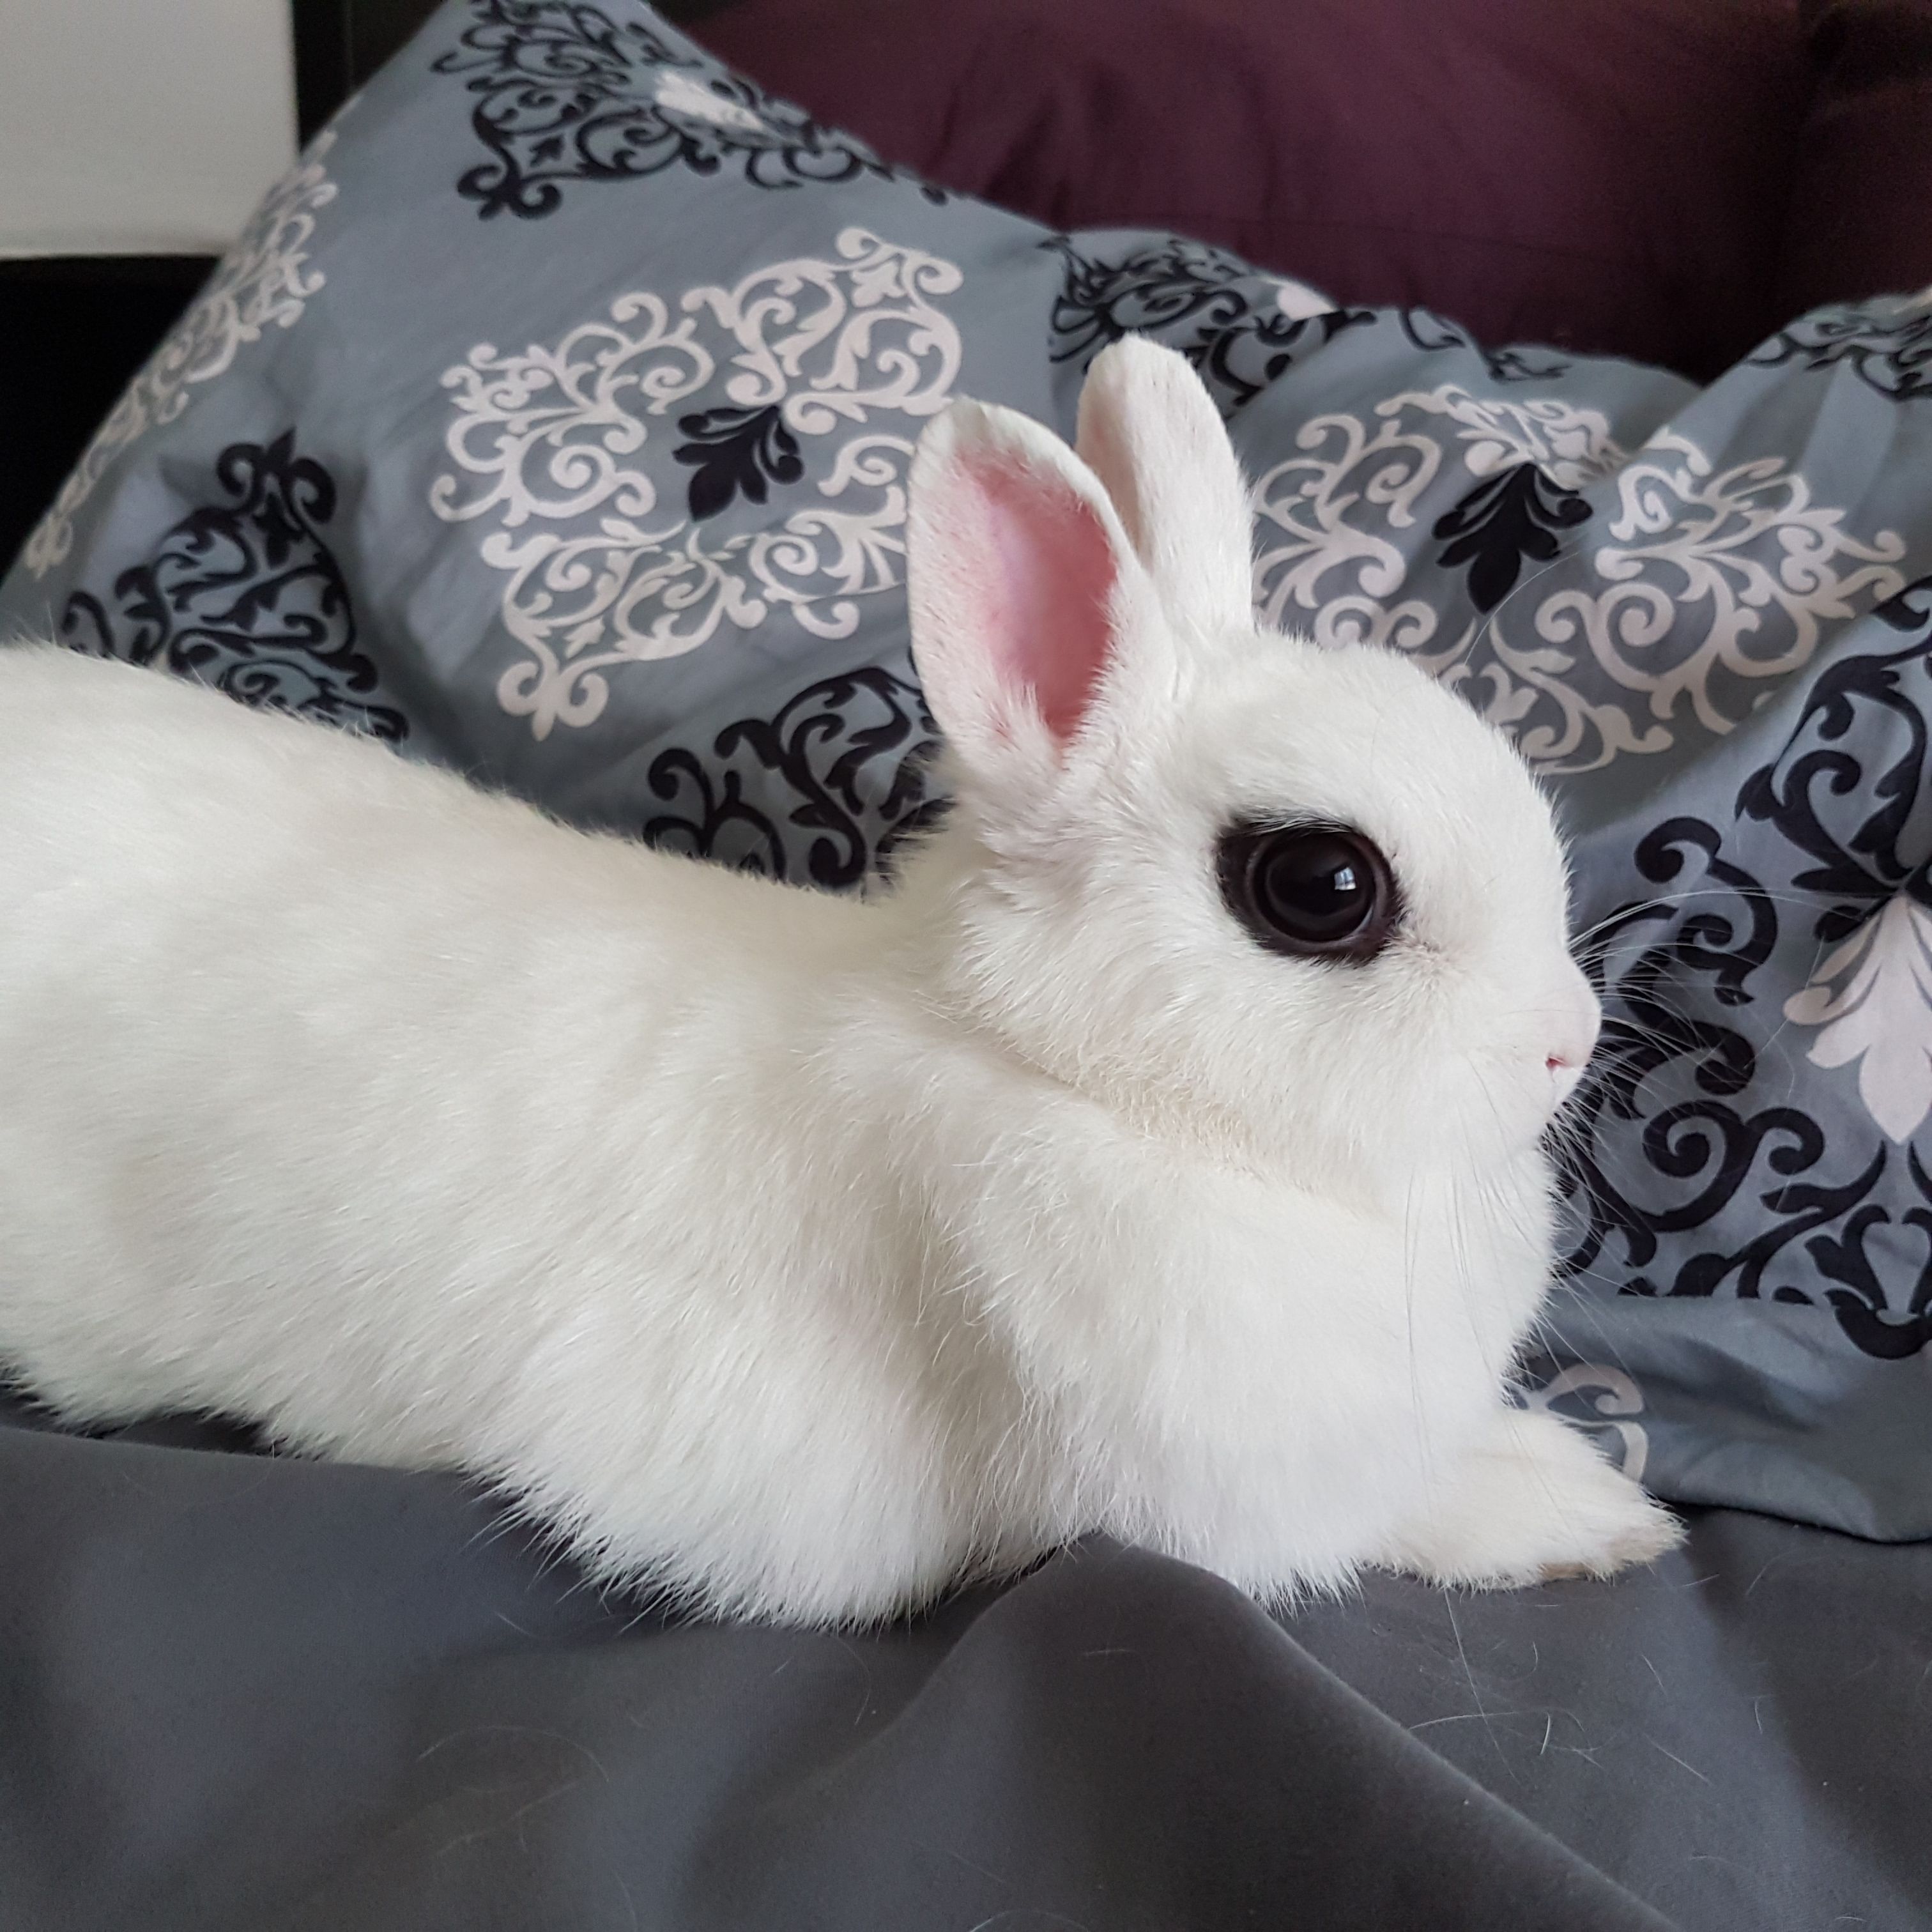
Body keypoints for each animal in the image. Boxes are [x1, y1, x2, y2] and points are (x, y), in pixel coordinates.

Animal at [0, 337, 1679, 1625]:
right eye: (1322, 888)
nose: (1567, 1041)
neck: (1058, 1077)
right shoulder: (1213, 1497)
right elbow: (1393, 1516)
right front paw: (1587, 1522)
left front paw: (1595, 1495)